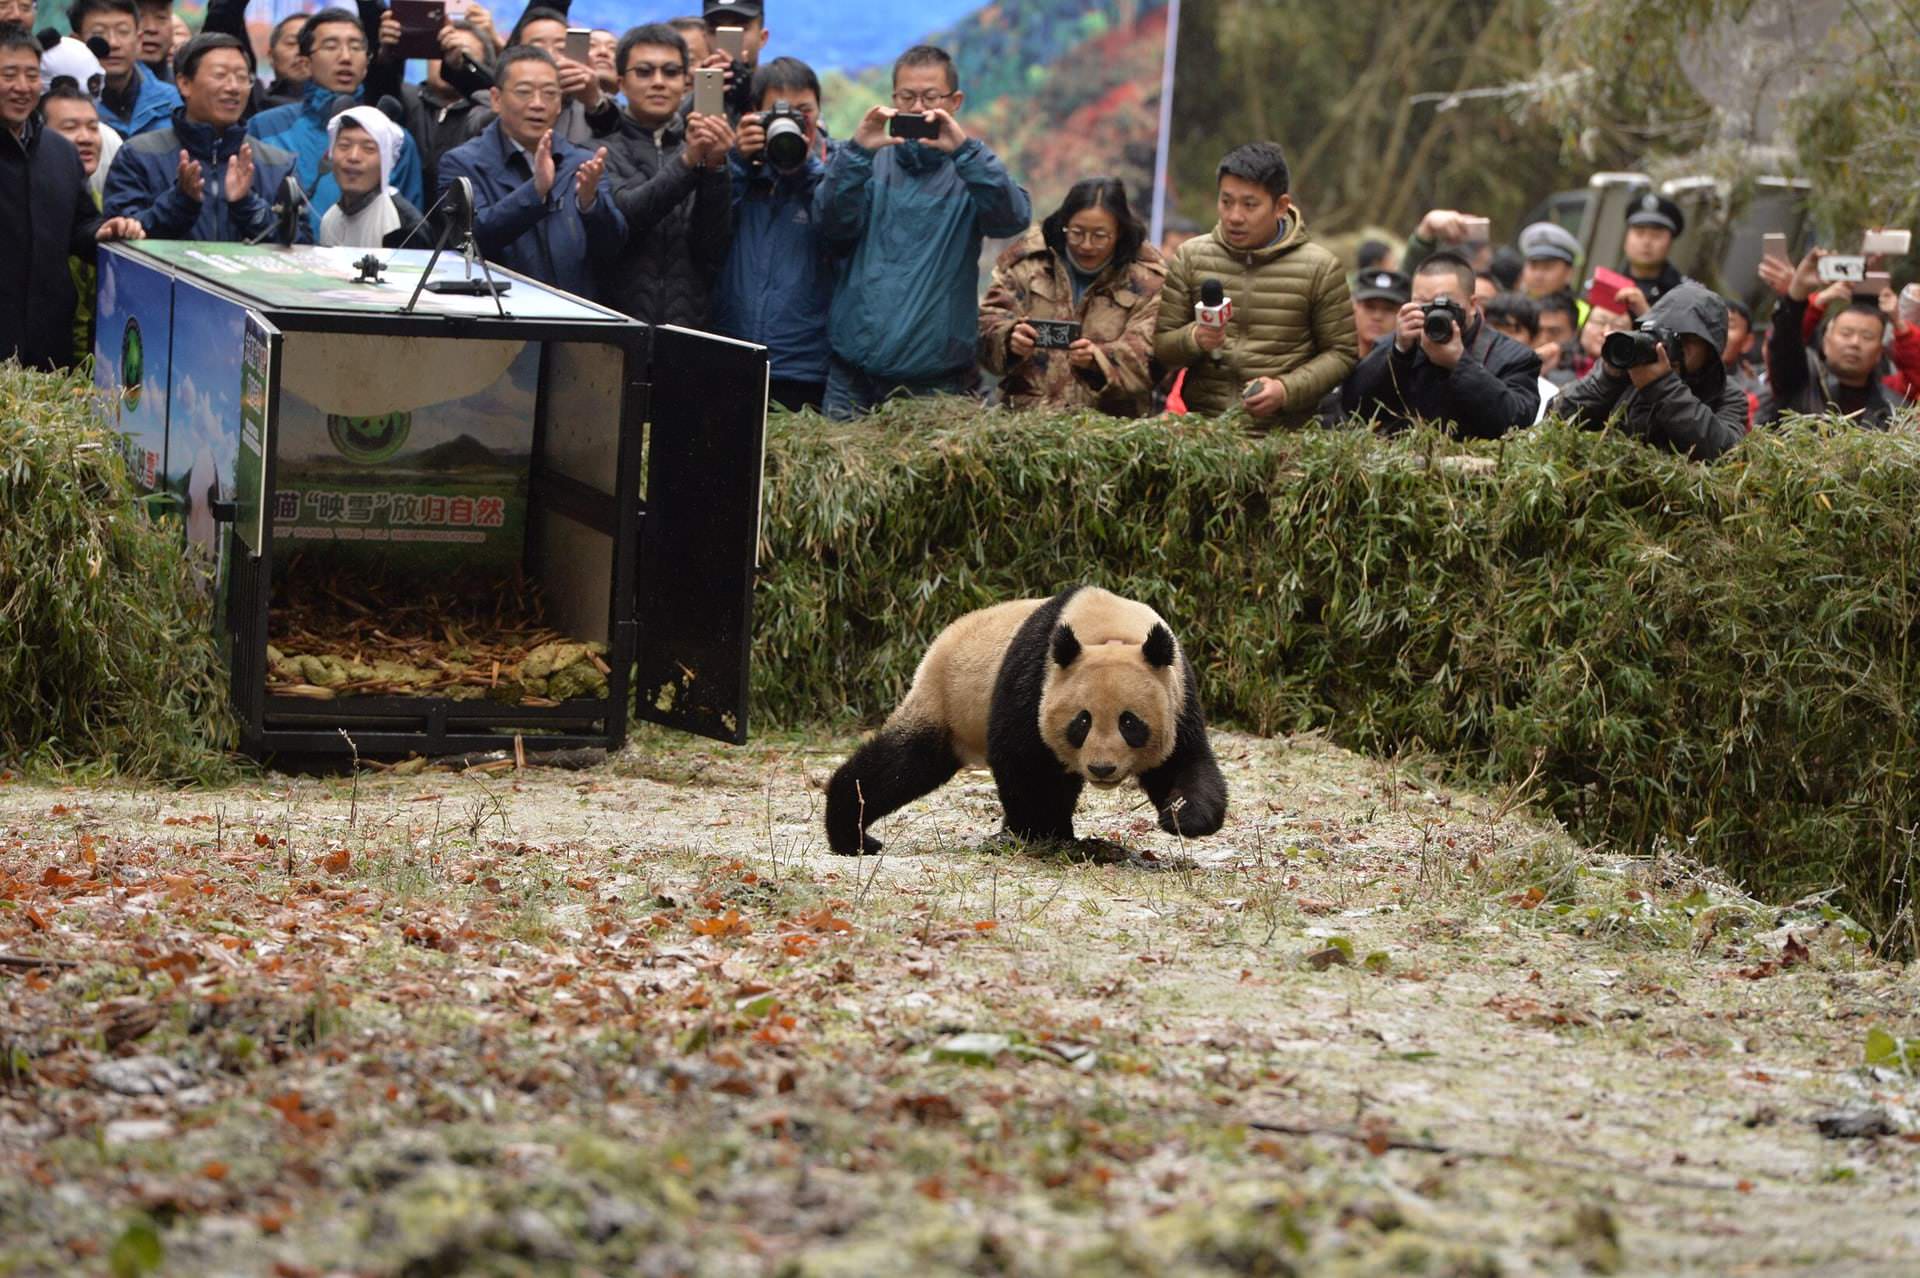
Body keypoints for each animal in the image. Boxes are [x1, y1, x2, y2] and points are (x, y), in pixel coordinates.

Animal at [825, 586, 1228, 855]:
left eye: (1130, 723)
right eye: (1082, 722)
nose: (1102, 769)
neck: (1111, 632)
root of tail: (943, 639)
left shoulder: (1178, 691)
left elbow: (1183, 761)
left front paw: (1182, 817)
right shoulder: (1034, 680)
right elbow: (1025, 762)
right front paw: (1043, 832)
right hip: (947, 699)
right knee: (902, 764)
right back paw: (852, 833)